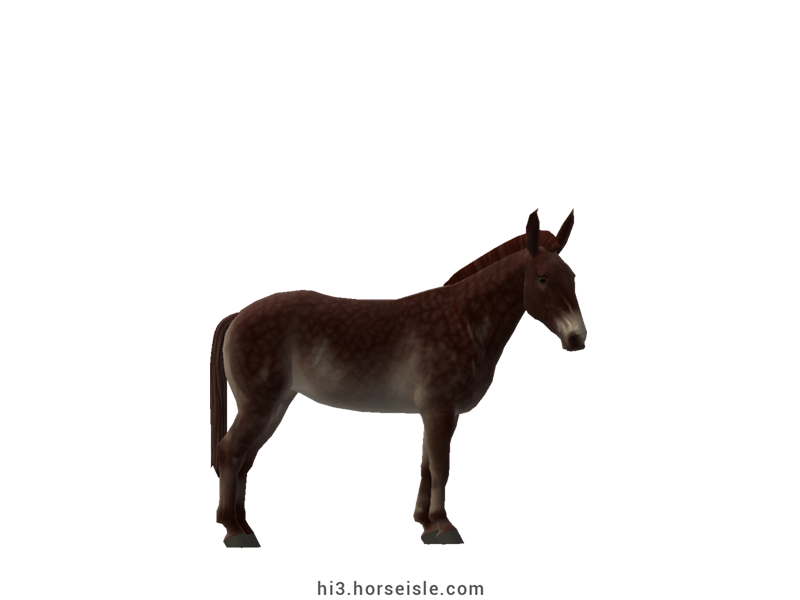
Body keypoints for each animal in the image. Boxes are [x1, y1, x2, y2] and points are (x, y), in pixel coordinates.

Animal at [212, 209, 584, 542]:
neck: (464, 318)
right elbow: (441, 465)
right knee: (229, 451)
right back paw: (233, 529)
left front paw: (426, 522)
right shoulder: (439, 406)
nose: (576, 337)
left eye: (570, 275)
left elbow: (427, 466)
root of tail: (239, 315)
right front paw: (444, 524)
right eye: (542, 278)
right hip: (257, 404)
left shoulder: (434, 410)